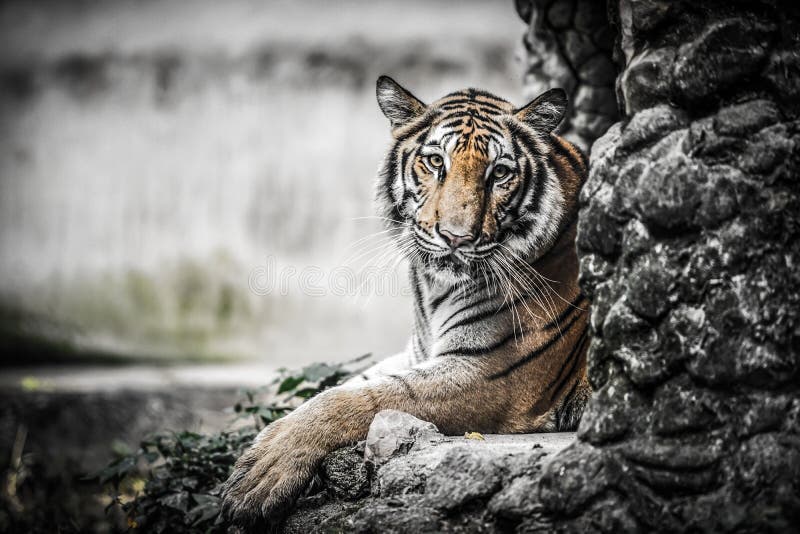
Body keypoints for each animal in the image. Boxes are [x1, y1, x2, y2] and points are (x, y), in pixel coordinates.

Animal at [222, 76, 591, 528]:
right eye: (435, 162)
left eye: (500, 172)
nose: (456, 237)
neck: (433, 288)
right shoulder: (418, 353)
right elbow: (347, 384)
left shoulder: (489, 372)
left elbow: (355, 400)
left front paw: (260, 475)